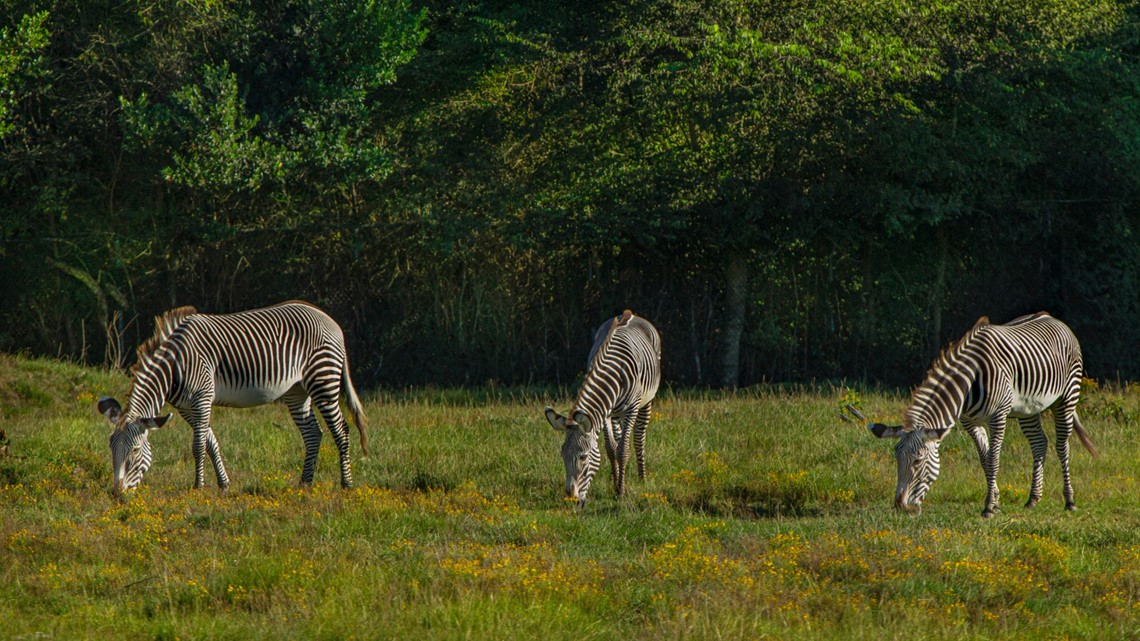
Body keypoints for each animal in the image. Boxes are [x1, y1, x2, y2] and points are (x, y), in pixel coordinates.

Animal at [96, 300, 368, 495]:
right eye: (111, 449)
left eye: (134, 451)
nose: (117, 493)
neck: (174, 366)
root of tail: (329, 320)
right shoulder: (186, 407)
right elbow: (210, 442)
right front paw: (223, 485)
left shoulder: (202, 397)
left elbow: (197, 445)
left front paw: (198, 486)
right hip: (297, 391)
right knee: (313, 434)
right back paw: (305, 484)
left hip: (323, 380)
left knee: (341, 431)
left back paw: (346, 484)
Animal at [544, 310, 661, 506]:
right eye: (562, 455)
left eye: (583, 457)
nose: (571, 496)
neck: (612, 373)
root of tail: (630, 313)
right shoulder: (604, 414)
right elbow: (611, 448)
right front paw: (616, 484)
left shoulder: (631, 408)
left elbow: (623, 450)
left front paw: (621, 492)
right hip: (615, 413)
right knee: (620, 438)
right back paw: (618, 475)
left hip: (646, 401)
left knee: (639, 438)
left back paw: (642, 478)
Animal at [867, 312, 1096, 517]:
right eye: (896, 458)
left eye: (917, 461)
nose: (901, 507)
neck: (968, 384)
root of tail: (1052, 318)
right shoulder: (970, 421)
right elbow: (985, 459)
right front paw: (995, 502)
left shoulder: (998, 416)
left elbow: (994, 458)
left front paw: (988, 508)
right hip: (1029, 408)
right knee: (1039, 443)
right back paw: (1033, 499)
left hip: (1067, 396)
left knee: (1062, 445)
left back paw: (1069, 500)